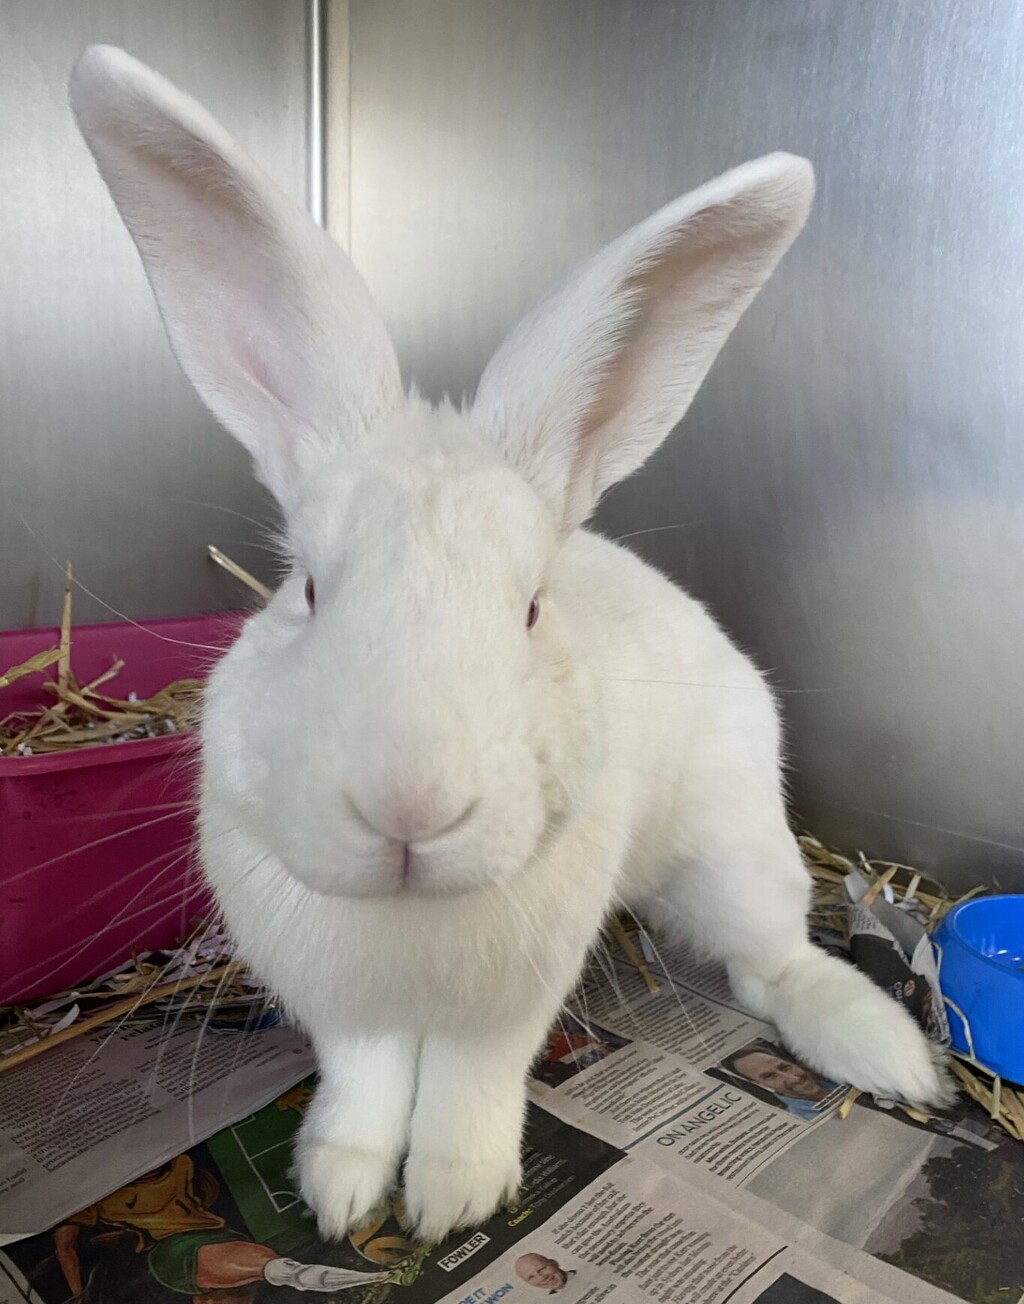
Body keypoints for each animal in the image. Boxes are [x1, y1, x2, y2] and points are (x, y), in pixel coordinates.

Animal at [70, 45, 953, 1243]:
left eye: (530, 607)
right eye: (308, 588)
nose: (410, 808)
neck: (411, 916)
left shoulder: (512, 1000)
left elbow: (471, 1085)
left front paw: (452, 1196)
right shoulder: (342, 1003)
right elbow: (364, 1080)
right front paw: (343, 1192)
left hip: (736, 853)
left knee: (772, 961)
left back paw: (890, 1055)